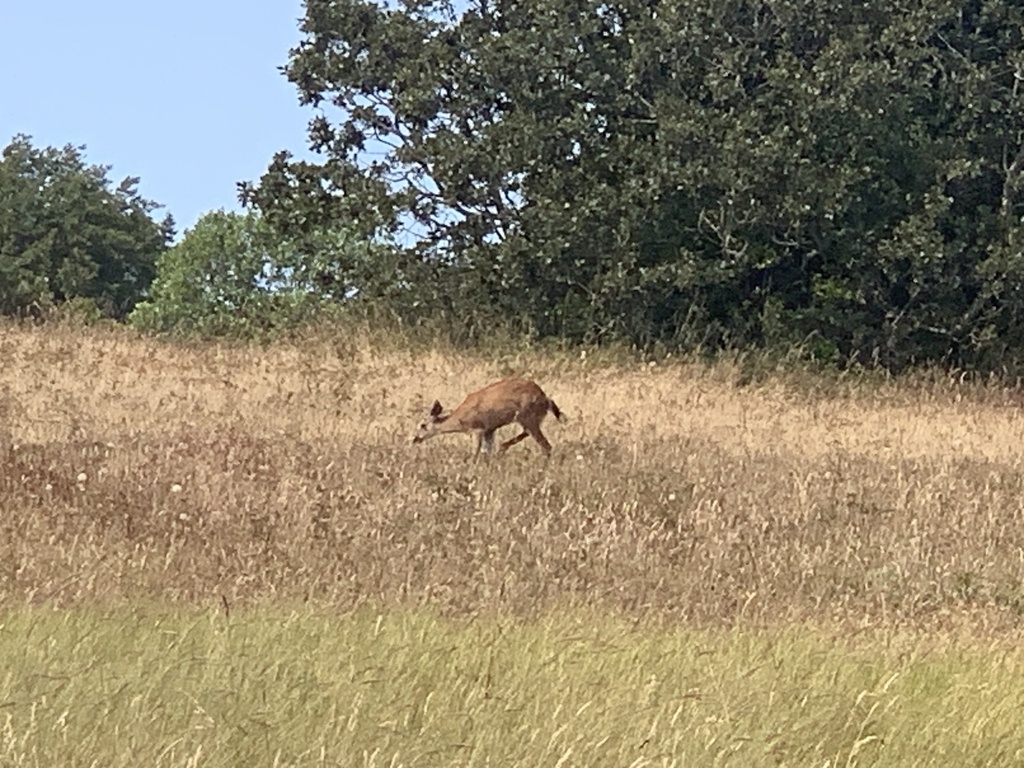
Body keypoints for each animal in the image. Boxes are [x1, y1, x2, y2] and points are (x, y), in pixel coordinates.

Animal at [412, 377, 563, 456]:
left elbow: (475, 453)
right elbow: (486, 452)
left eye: (423, 425)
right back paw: (503, 447)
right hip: (529, 419)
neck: (460, 420)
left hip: (527, 416)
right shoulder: (489, 430)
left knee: (546, 445)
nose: (415, 439)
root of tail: (546, 399)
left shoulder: (477, 429)